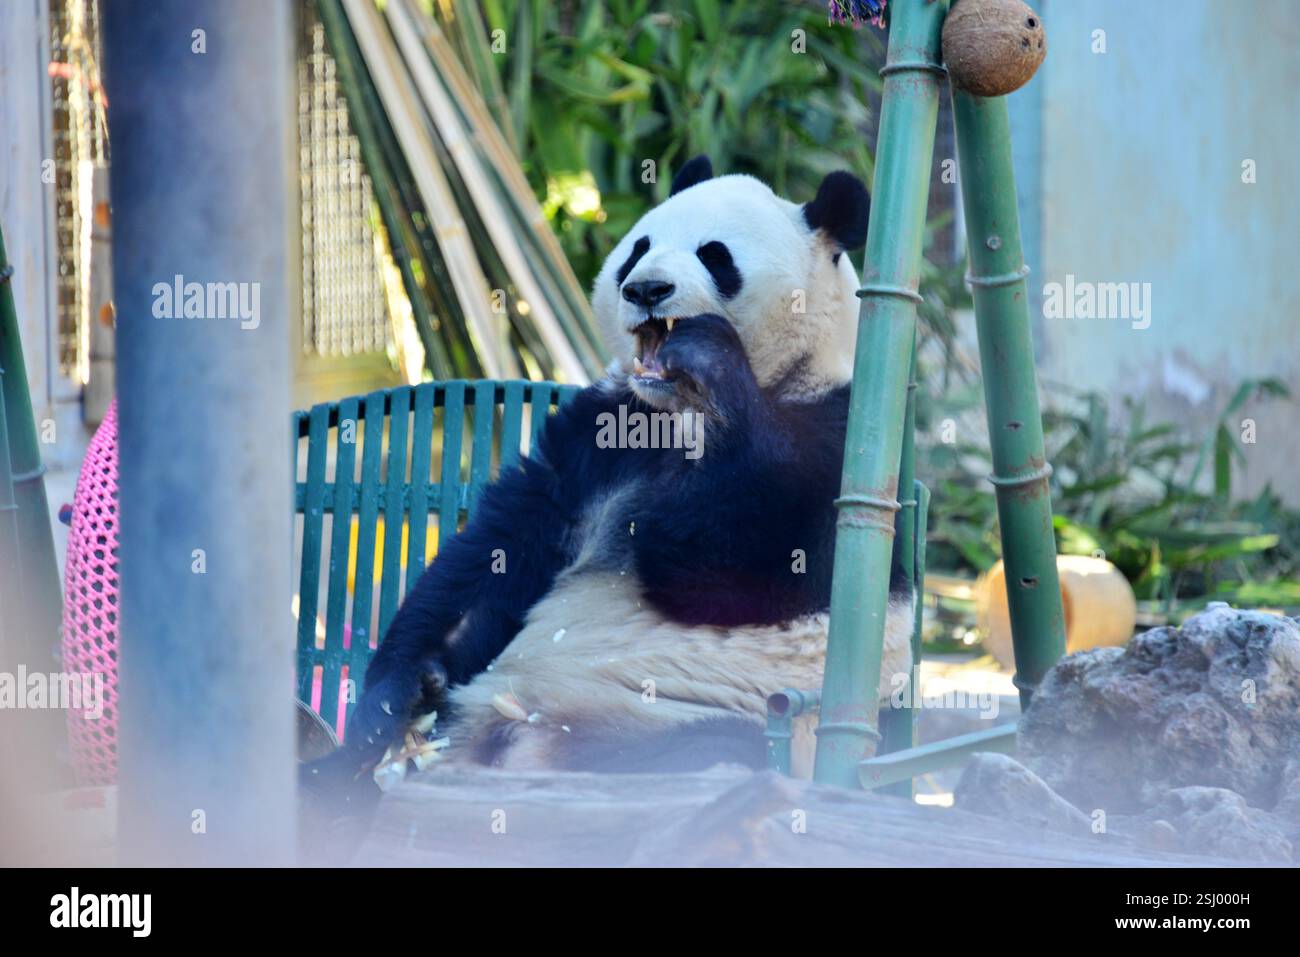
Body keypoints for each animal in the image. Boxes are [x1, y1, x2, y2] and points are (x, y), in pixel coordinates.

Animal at [308, 156, 913, 797]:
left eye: (715, 256)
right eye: (639, 248)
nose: (645, 290)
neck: (672, 413)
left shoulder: (847, 444)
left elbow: (733, 565)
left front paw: (709, 356)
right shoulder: (601, 438)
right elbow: (500, 550)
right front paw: (396, 692)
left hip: (697, 714)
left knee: (706, 749)